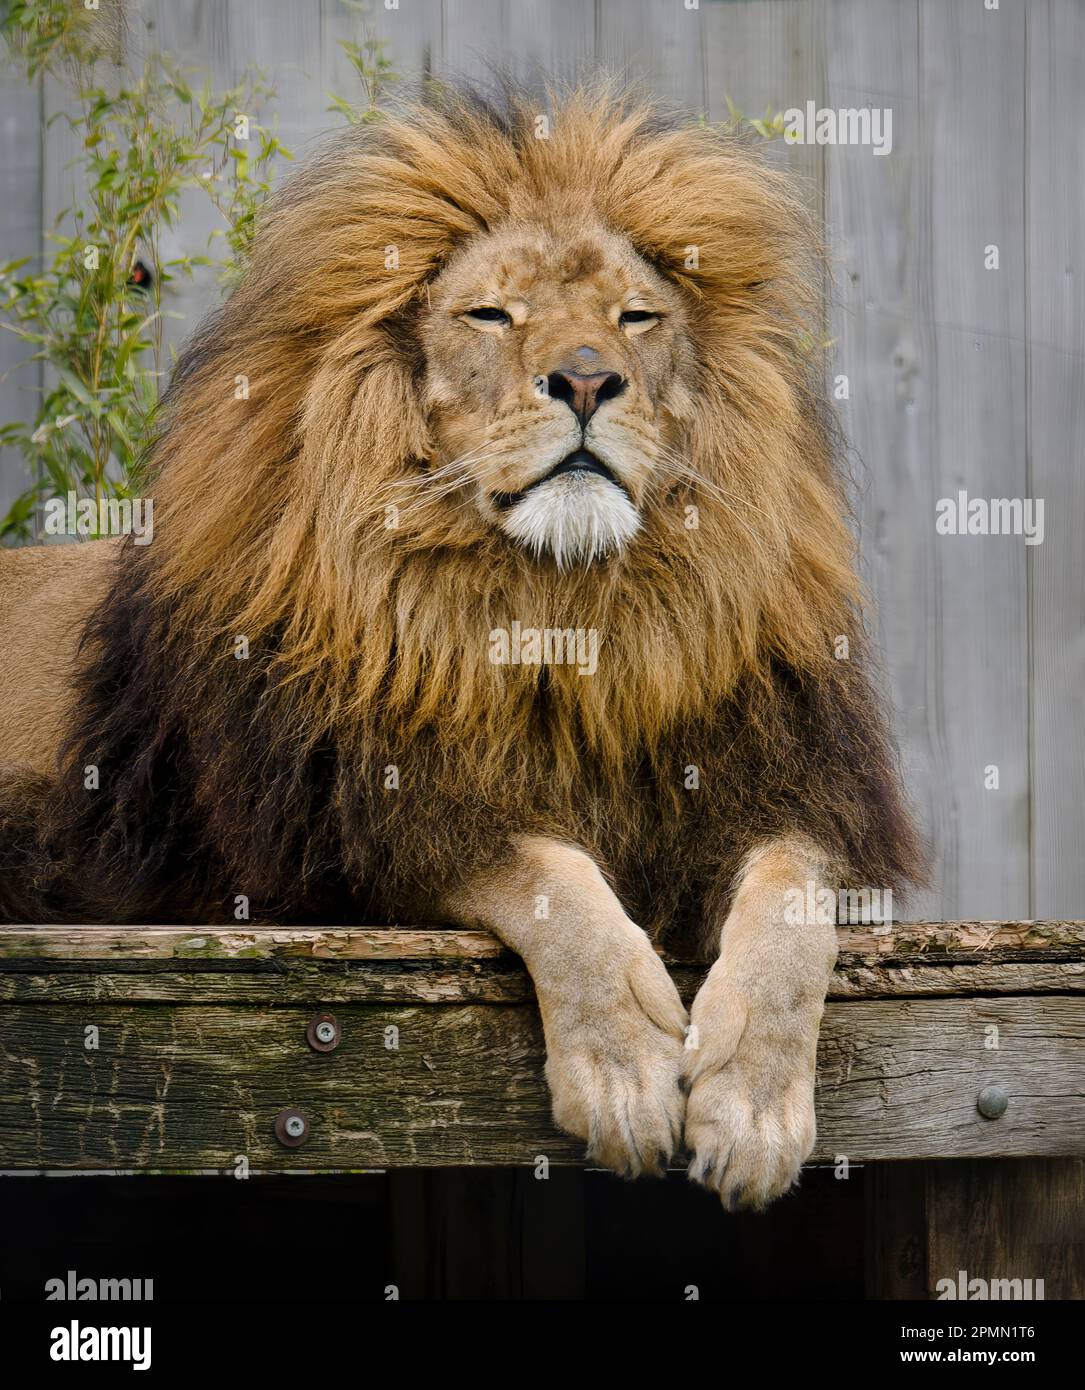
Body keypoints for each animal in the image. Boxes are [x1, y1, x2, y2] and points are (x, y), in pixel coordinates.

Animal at [0, 82, 922, 1208]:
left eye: (635, 316)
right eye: (491, 314)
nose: (587, 381)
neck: (565, 611)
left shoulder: (778, 784)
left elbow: (791, 908)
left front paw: (750, 1109)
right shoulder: (366, 825)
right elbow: (550, 876)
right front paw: (622, 1068)